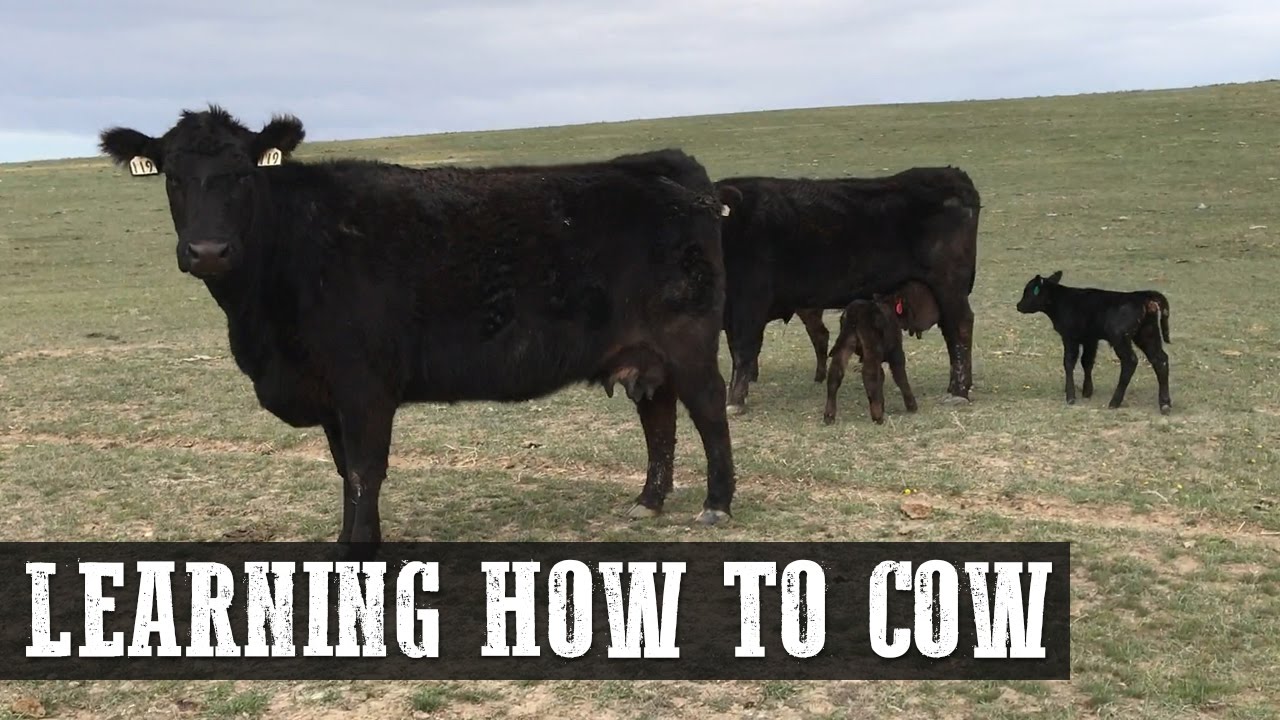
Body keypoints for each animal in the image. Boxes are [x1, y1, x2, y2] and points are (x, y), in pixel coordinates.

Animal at [98, 105, 737, 554]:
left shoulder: (364, 387)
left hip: (689, 337)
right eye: (172, 177)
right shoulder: (330, 397)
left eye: (240, 174)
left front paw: (359, 549)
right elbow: (346, 474)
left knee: (708, 408)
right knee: (658, 416)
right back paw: (648, 502)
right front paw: (351, 541)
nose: (208, 250)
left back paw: (717, 504)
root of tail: (661, 169)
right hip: (644, 350)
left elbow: (365, 472)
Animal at [714, 167, 981, 414]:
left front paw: (734, 401)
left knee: (960, 326)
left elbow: (743, 348)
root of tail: (951, 175)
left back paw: (958, 392)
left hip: (948, 285)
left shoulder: (750, 300)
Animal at [1016, 271, 1172, 414]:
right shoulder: (1090, 339)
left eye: (1028, 291)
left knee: (1131, 361)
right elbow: (1087, 362)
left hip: (1120, 337)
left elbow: (1069, 362)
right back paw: (1165, 404)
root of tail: (1142, 295)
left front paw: (1070, 396)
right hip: (1148, 334)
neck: (1061, 302)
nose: (1018, 305)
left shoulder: (1070, 337)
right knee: (1160, 359)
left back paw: (1115, 402)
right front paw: (1087, 391)